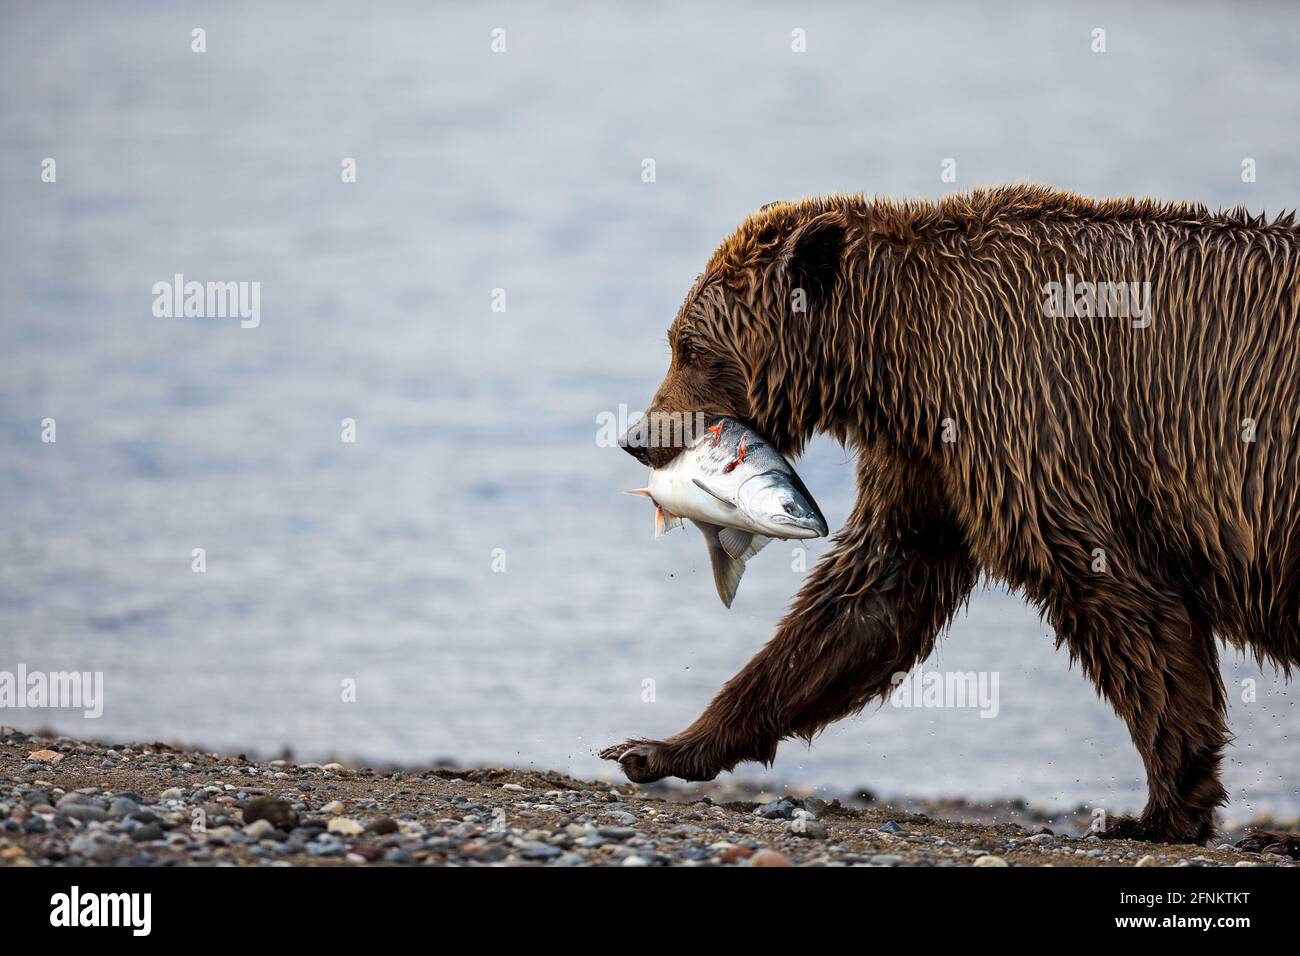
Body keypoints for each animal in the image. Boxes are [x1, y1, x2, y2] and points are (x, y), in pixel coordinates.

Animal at [603, 184, 1300, 847]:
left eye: (692, 348)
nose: (638, 437)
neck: (897, 355)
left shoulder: (1027, 416)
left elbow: (1122, 601)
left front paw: (1161, 809)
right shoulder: (927, 459)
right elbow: (865, 601)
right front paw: (658, 747)